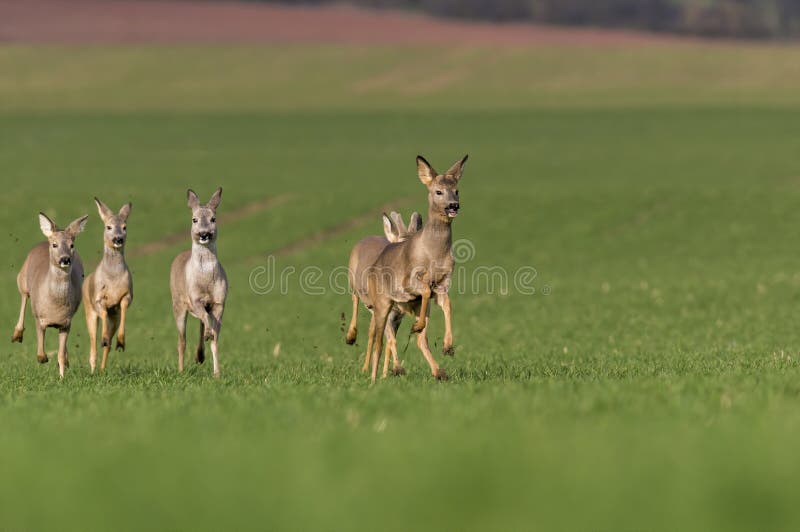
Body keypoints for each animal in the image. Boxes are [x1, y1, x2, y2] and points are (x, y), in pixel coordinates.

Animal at [12, 212, 89, 378]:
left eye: (72, 245)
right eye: (54, 245)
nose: (65, 259)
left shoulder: (66, 322)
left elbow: (60, 354)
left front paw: (62, 377)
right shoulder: (39, 318)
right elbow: (40, 354)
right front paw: (45, 358)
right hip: (21, 278)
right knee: (23, 296)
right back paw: (17, 335)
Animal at [82, 198, 132, 373]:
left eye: (124, 227)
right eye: (108, 227)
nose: (118, 239)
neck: (113, 279)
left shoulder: (127, 296)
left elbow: (123, 306)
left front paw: (121, 342)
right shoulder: (98, 299)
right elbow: (103, 311)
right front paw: (103, 338)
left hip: (114, 318)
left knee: (107, 346)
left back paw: (103, 369)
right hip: (89, 313)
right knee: (92, 345)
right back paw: (93, 370)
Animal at [170, 187, 227, 378]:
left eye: (213, 219)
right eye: (194, 219)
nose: (204, 234)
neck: (206, 281)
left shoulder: (219, 302)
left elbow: (215, 340)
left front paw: (217, 374)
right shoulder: (194, 298)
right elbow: (204, 322)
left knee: (202, 325)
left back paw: (200, 356)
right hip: (177, 305)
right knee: (181, 340)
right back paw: (181, 371)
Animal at [346, 211, 422, 377]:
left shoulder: (397, 317)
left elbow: (388, 342)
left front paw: (386, 374)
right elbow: (390, 340)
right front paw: (395, 370)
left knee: (372, 332)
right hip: (354, 286)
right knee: (355, 304)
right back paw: (351, 340)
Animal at [365, 154, 467, 383]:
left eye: (457, 190)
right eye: (438, 191)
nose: (453, 206)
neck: (434, 254)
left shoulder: (444, 283)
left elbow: (448, 305)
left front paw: (448, 346)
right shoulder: (409, 282)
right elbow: (426, 290)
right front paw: (417, 325)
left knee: (420, 341)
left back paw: (439, 372)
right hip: (382, 302)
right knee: (379, 340)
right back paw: (374, 380)